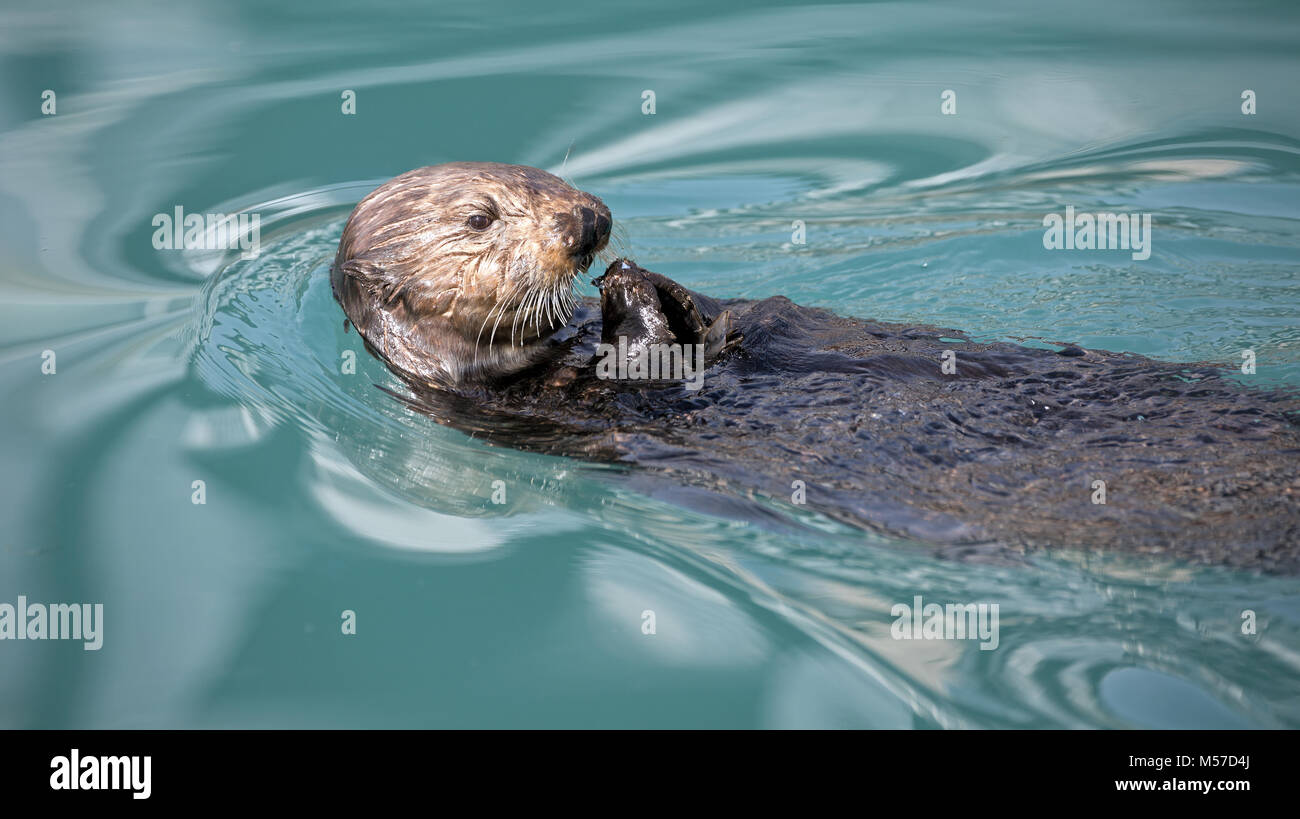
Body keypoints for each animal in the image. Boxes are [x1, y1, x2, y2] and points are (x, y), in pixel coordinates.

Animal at [333, 162, 1300, 570]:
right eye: (480, 218)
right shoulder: (535, 409)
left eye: (543, 174)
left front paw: (657, 284)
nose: (591, 224)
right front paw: (634, 300)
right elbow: (643, 371)